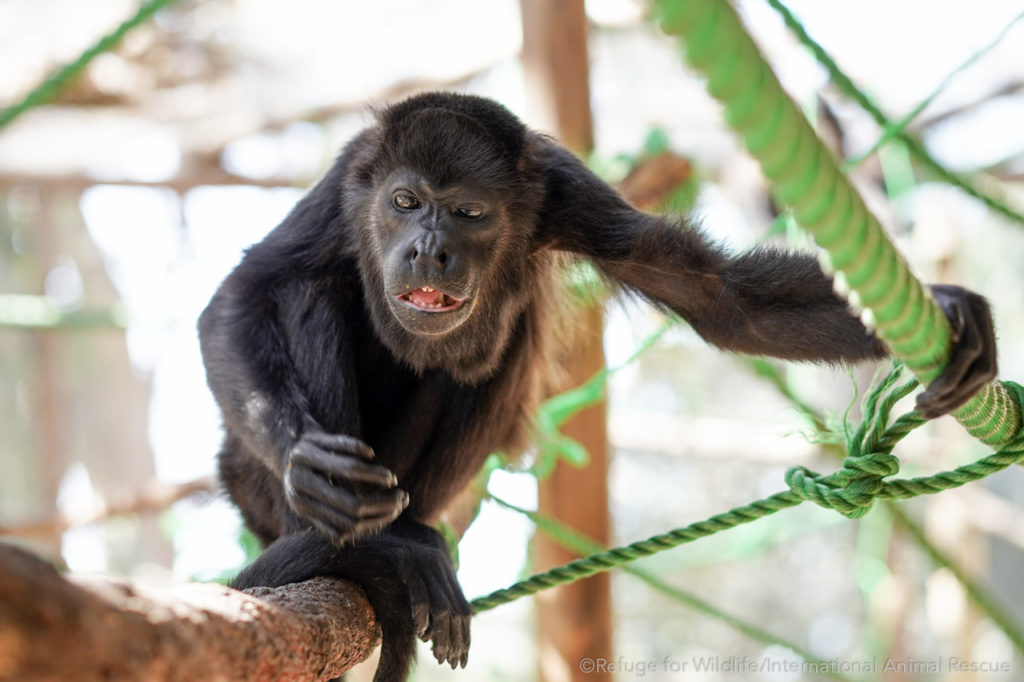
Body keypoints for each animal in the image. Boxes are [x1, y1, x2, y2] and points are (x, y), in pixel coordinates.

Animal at [198, 92, 997, 681]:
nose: (429, 248)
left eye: (469, 212)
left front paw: (955, 311)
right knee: (308, 290)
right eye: (404, 201)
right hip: (248, 483)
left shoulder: (562, 189)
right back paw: (341, 536)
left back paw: (405, 536)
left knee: (498, 351)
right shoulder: (347, 180)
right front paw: (308, 463)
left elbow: (722, 296)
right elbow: (246, 291)